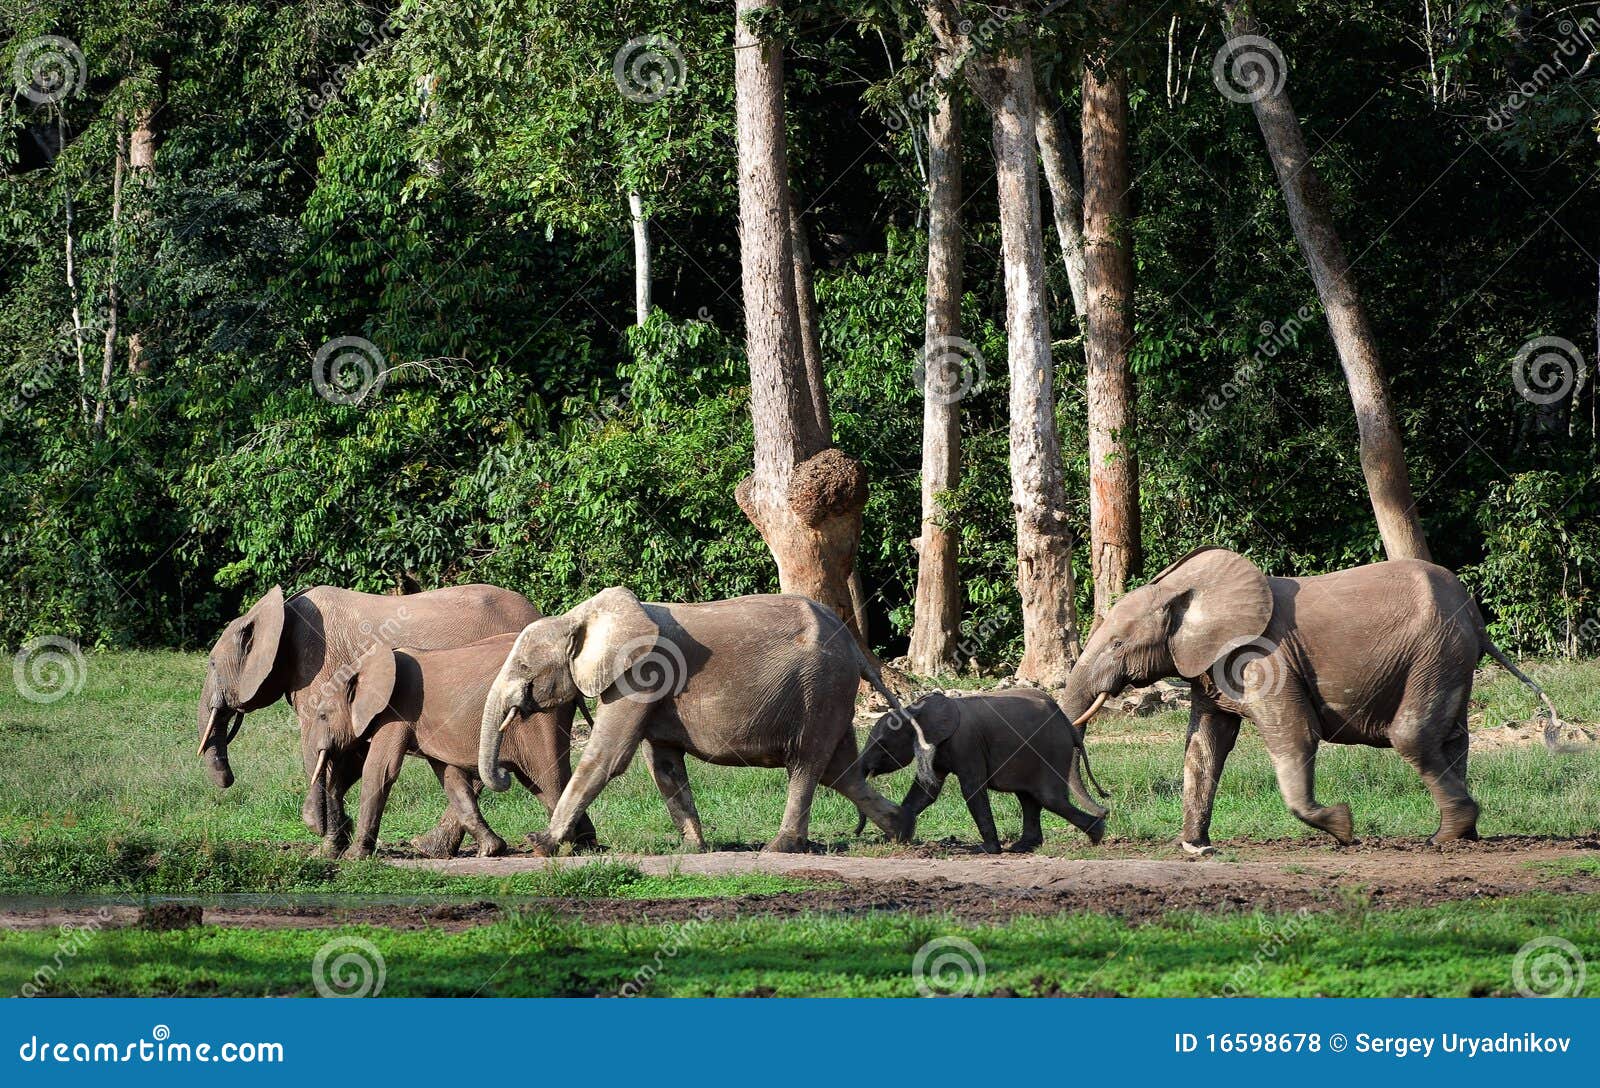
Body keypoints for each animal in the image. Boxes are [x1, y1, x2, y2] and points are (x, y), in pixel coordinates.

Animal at [196, 583, 540, 854]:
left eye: (211, 663)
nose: (227, 779)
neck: (280, 612)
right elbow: (348, 755)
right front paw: (337, 838)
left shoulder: (319, 671)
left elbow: (320, 752)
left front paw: (323, 837)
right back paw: (432, 848)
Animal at [302, 632, 597, 858]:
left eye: (323, 716)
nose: (317, 830)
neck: (365, 663)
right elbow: (450, 777)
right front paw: (490, 850)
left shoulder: (396, 711)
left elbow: (380, 769)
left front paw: (354, 857)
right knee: (540, 783)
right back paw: (586, 845)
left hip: (539, 717)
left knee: (549, 779)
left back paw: (562, 848)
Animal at [478, 588, 909, 854]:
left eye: (524, 666)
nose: (503, 774)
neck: (579, 616)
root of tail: (853, 645)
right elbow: (663, 763)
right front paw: (691, 847)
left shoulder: (639, 675)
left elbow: (608, 756)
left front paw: (541, 844)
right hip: (832, 693)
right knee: (841, 772)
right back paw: (901, 830)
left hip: (820, 688)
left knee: (806, 765)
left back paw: (780, 848)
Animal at [857, 689, 1110, 852]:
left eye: (882, 745)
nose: (857, 833)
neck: (915, 710)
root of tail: (1068, 725)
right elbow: (926, 791)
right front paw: (897, 834)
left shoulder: (966, 743)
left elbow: (971, 788)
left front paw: (986, 850)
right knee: (1029, 798)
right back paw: (1023, 847)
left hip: (1052, 750)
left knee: (1049, 798)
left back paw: (1097, 834)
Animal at [1058, 547, 1561, 853]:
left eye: (1118, 644)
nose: (1104, 814)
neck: (1182, 588)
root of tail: (1476, 618)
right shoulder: (1209, 665)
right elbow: (1205, 745)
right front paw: (1194, 847)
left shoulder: (1265, 659)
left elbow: (1295, 734)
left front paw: (1343, 828)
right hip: (1449, 657)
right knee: (1451, 738)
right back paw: (1462, 835)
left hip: (1437, 650)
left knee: (1412, 736)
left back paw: (1444, 837)